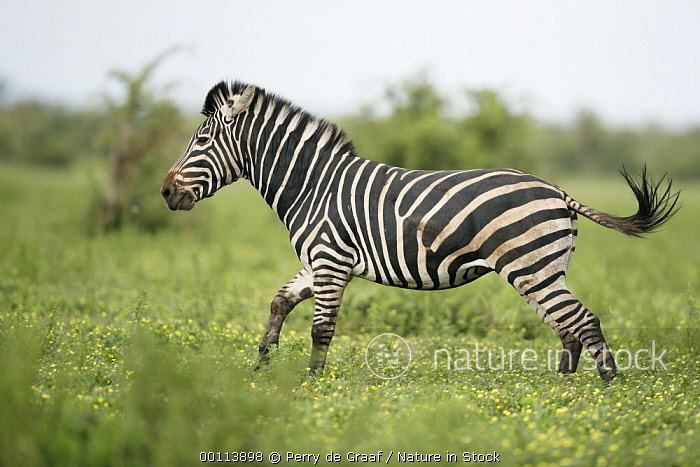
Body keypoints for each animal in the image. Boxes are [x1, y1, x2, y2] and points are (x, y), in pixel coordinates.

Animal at [161, 81, 679, 381]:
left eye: (201, 140)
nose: (165, 192)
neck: (313, 185)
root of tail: (558, 190)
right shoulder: (317, 263)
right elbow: (279, 303)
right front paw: (261, 366)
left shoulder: (330, 261)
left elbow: (321, 328)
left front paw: (311, 386)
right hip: (544, 270)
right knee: (567, 325)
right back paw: (563, 389)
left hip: (531, 268)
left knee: (582, 321)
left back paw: (604, 392)